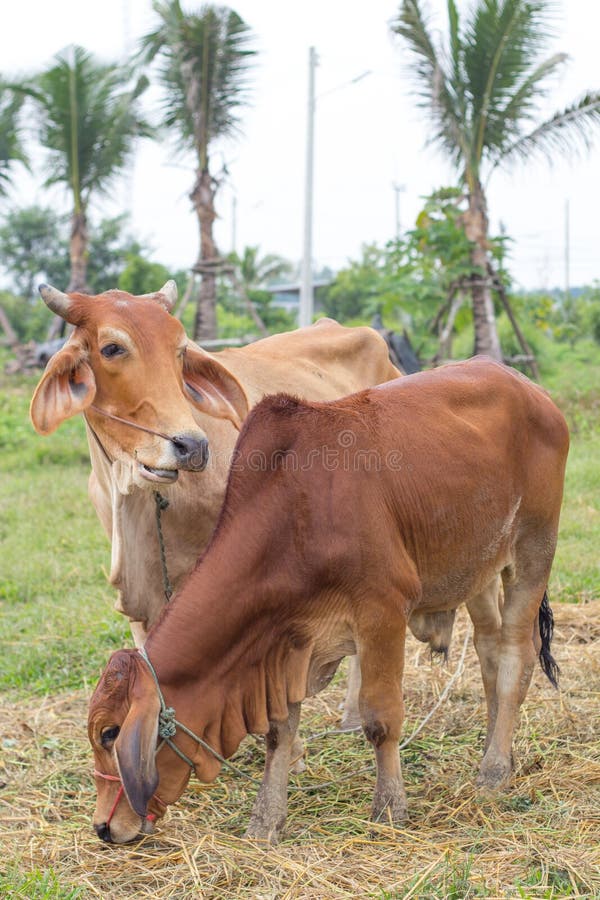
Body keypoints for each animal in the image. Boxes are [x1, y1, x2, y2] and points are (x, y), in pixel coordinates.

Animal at [88, 358, 569, 845]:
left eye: (109, 733)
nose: (104, 827)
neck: (293, 515)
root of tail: (526, 385)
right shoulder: (285, 645)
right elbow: (279, 730)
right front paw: (266, 820)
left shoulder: (382, 611)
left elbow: (380, 718)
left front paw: (389, 807)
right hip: (477, 568)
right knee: (489, 653)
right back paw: (497, 752)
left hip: (533, 548)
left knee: (515, 657)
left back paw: (493, 771)